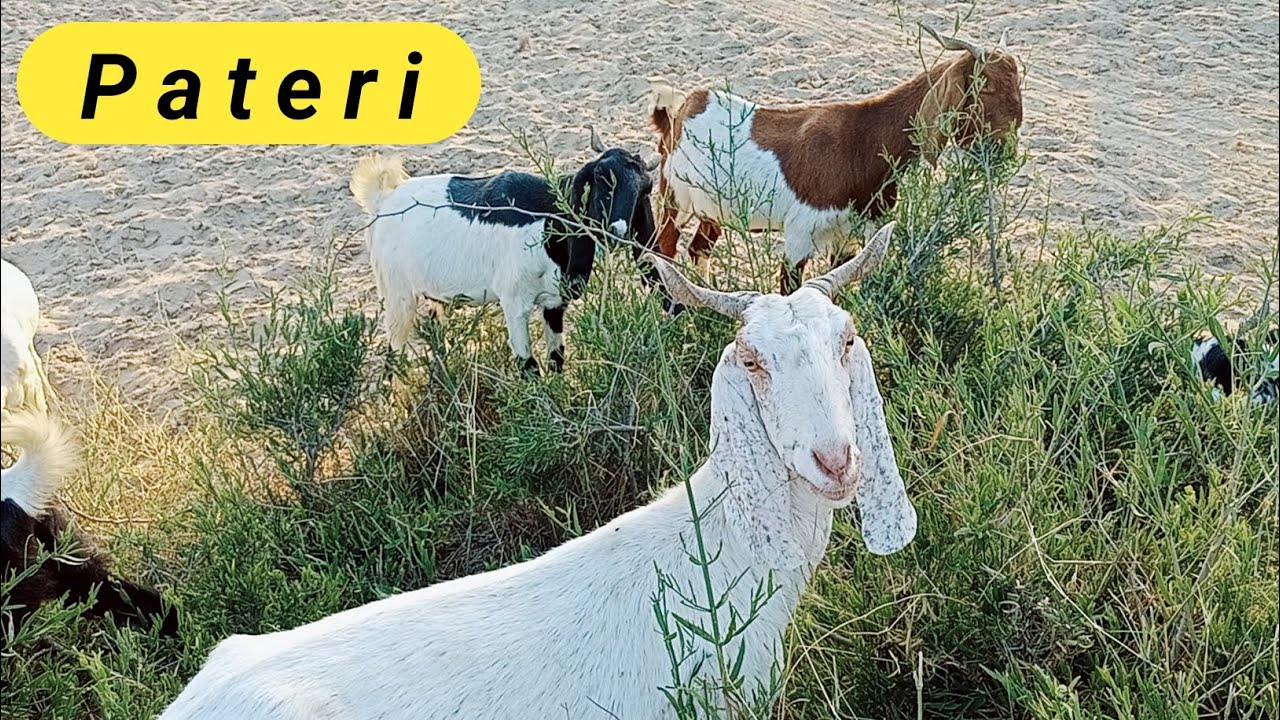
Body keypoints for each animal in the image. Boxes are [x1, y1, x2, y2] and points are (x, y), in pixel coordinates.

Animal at [350, 133, 660, 375]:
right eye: (600, 176)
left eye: (645, 189)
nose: (616, 231)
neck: (547, 218)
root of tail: (382, 200)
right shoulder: (514, 303)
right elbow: (528, 366)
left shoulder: (554, 302)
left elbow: (556, 359)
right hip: (397, 294)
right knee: (394, 355)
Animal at [650, 27, 1023, 293]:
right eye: (984, 87)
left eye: (1018, 85)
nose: (1005, 151)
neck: (862, 143)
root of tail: (681, 110)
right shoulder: (800, 233)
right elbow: (791, 290)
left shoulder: (853, 235)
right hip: (674, 200)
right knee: (662, 249)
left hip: (713, 210)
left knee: (698, 249)